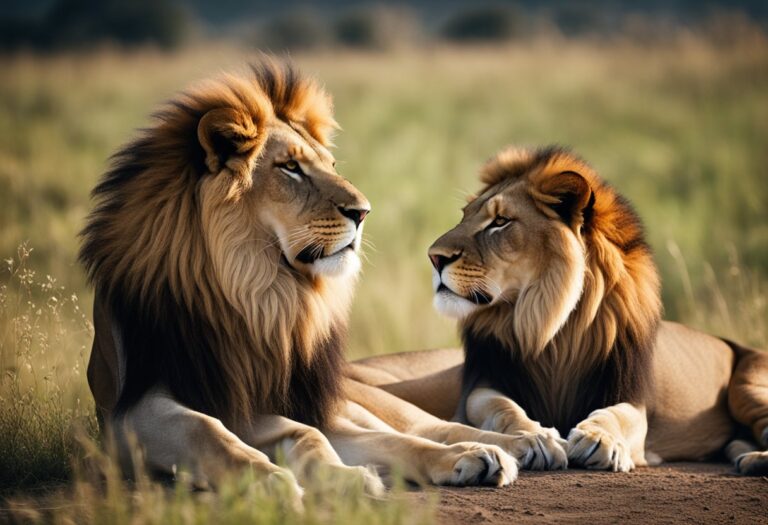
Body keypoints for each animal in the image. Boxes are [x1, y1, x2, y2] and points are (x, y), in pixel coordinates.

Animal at [79, 62, 587, 503]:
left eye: (329, 165)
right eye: (289, 167)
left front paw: (339, 476)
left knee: (427, 428)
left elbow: (329, 435)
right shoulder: (130, 412)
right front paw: (275, 480)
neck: (257, 290)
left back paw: (519, 443)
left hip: (357, 401)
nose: (362, 212)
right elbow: (207, 429)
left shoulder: (299, 403)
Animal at [351, 146, 768, 475]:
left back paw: (754, 459)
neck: (546, 322)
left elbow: (617, 415)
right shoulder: (483, 387)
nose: (434, 257)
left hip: (748, 384)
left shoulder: (631, 397)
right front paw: (534, 437)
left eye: (500, 222)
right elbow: (505, 409)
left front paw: (598, 439)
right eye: (466, 215)